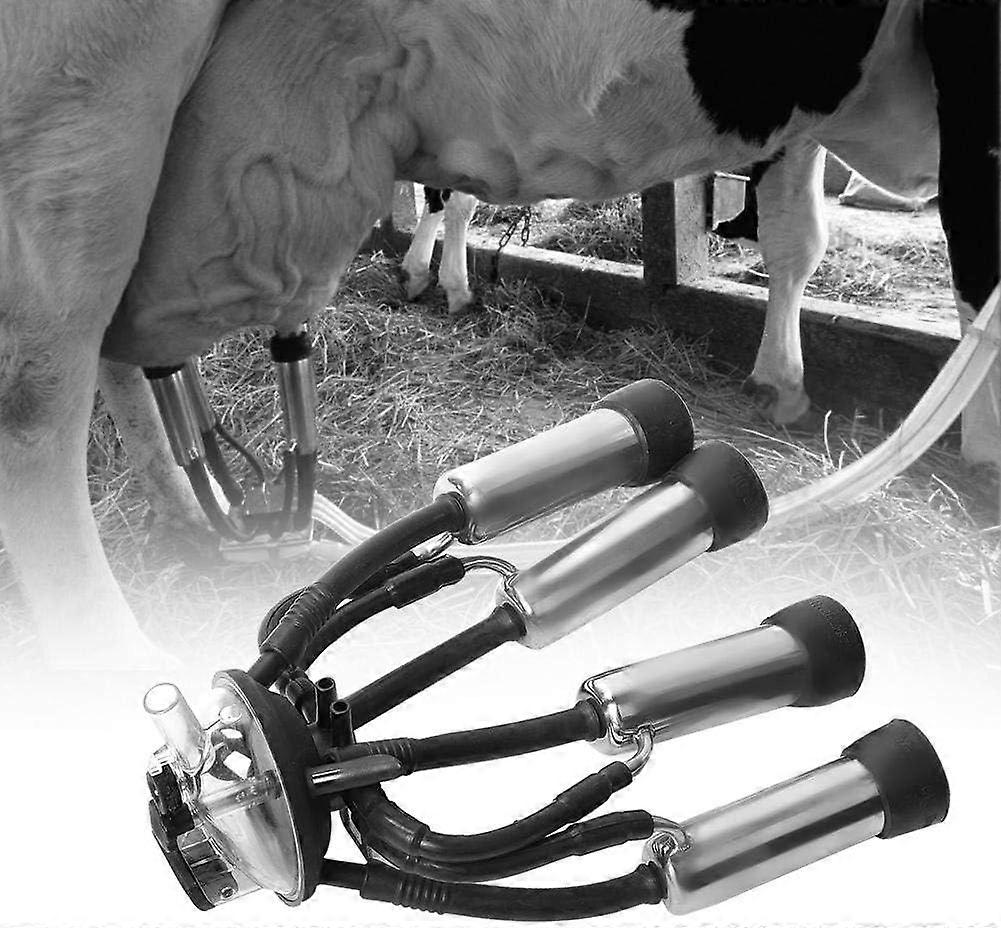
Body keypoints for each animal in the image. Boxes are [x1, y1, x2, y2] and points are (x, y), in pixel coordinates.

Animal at [2, 0, 997, 666]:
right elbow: (976, 280)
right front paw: (986, 466)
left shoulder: (803, 103)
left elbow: (796, 235)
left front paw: (781, 383)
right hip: (76, 90)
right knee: (36, 389)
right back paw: (117, 663)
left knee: (120, 353)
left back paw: (197, 522)